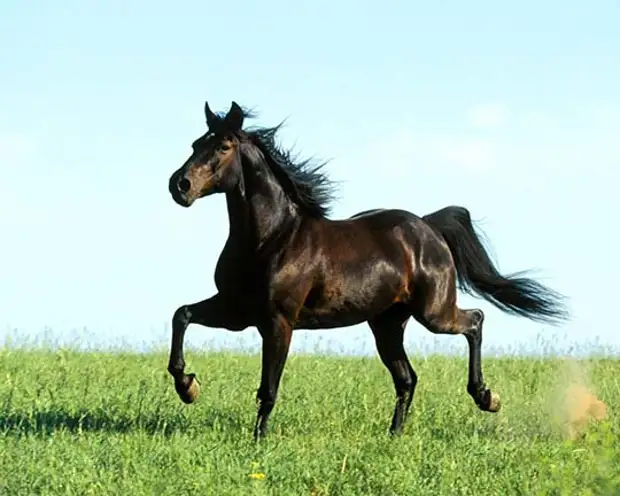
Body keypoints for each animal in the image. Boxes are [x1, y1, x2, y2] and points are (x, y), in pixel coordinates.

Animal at [166, 100, 572, 438]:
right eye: (194, 144)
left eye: (223, 147)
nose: (179, 185)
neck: (272, 238)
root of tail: (428, 226)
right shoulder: (237, 311)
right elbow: (181, 315)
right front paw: (188, 387)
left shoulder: (278, 321)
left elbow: (268, 387)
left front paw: (258, 440)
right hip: (387, 324)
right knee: (407, 378)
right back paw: (395, 435)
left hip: (434, 313)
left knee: (474, 321)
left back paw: (486, 397)